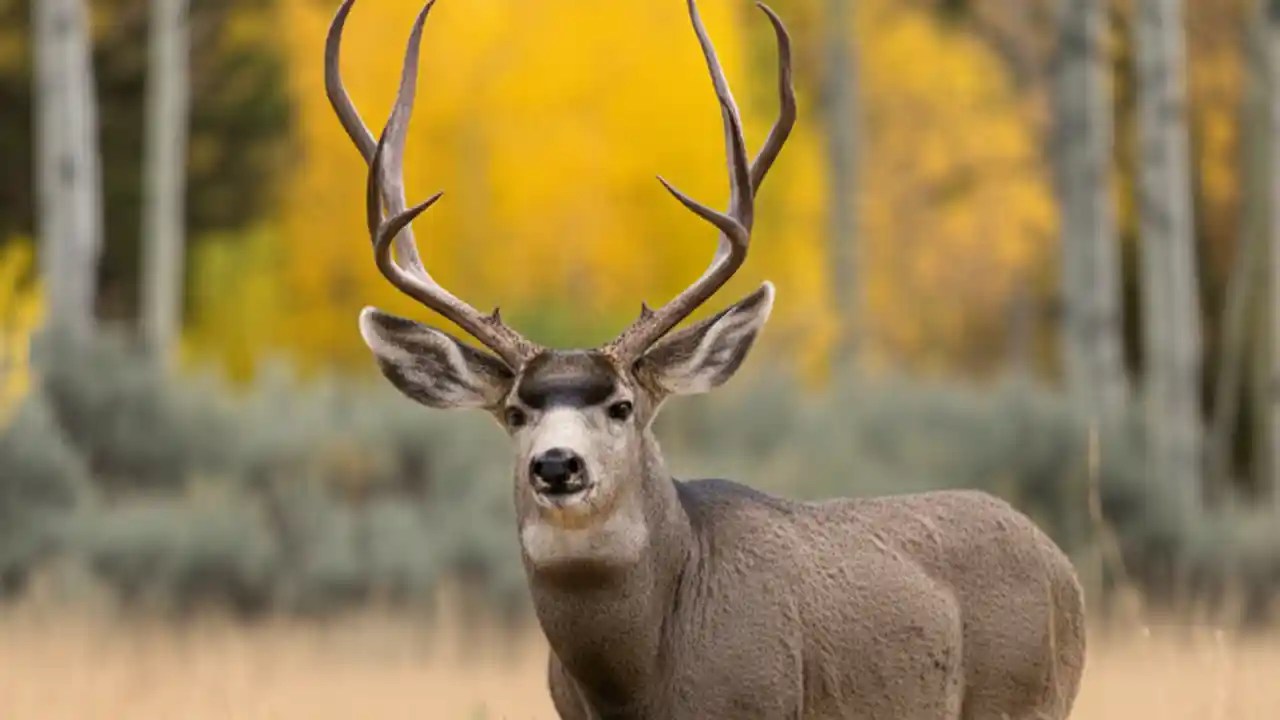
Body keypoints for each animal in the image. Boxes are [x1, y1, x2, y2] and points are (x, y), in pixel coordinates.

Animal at [326, 0, 1086, 717]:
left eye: (622, 406)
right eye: (515, 412)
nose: (557, 465)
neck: (640, 682)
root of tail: (1063, 568)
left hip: (1025, 695)